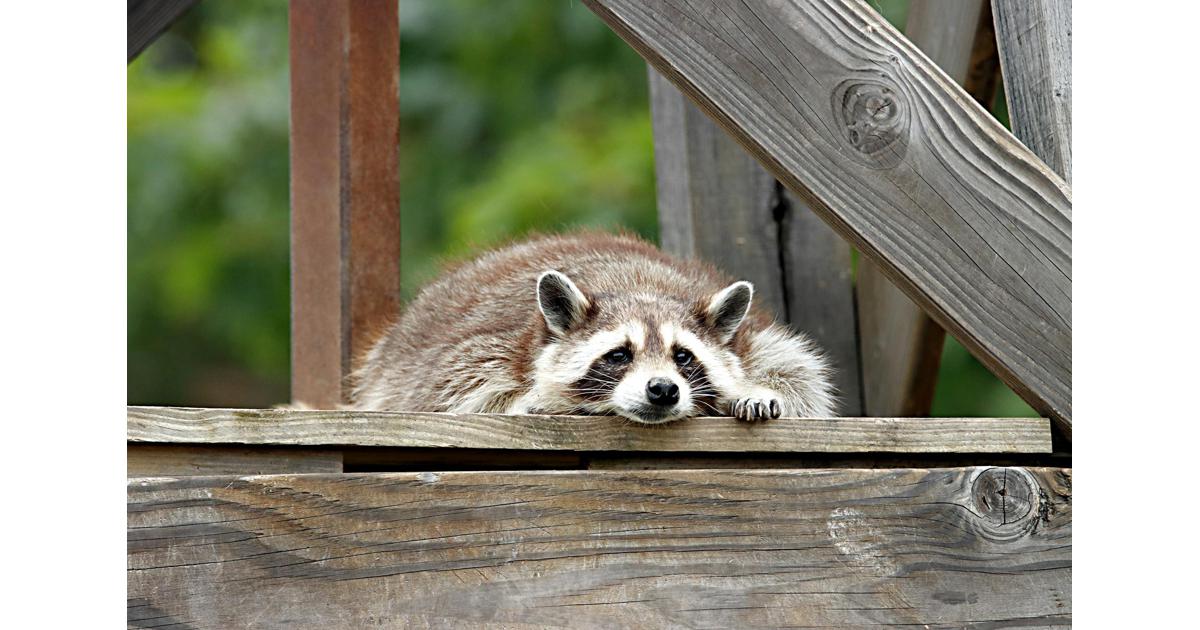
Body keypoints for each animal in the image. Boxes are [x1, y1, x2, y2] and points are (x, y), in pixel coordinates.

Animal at [351, 232, 836, 423]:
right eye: (619, 354)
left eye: (683, 356)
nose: (663, 389)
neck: (640, 289)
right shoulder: (486, 349)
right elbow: (455, 391)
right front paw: (538, 399)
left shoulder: (752, 340)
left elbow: (798, 372)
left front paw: (753, 391)